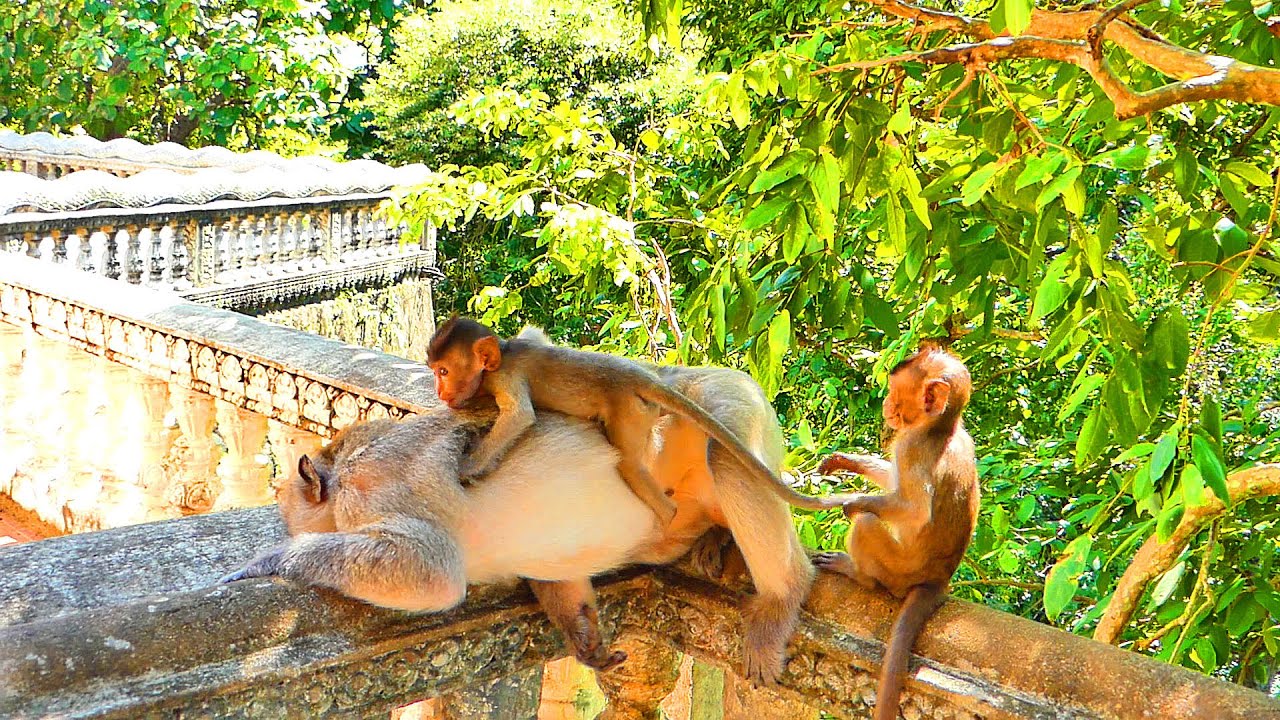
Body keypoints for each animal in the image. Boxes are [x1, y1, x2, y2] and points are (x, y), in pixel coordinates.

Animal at [426, 317, 852, 528]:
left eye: (444, 371)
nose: (440, 390)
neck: (504, 354)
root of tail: (638, 376)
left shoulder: (507, 376)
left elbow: (519, 415)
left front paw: (470, 466)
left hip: (629, 410)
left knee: (629, 465)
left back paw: (668, 518)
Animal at [812, 347, 979, 720]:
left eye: (895, 392)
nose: (886, 404)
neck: (940, 429)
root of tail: (937, 580)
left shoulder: (911, 448)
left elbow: (914, 510)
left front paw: (852, 502)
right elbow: (893, 483)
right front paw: (846, 461)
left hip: (898, 570)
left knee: (867, 525)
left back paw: (857, 572)